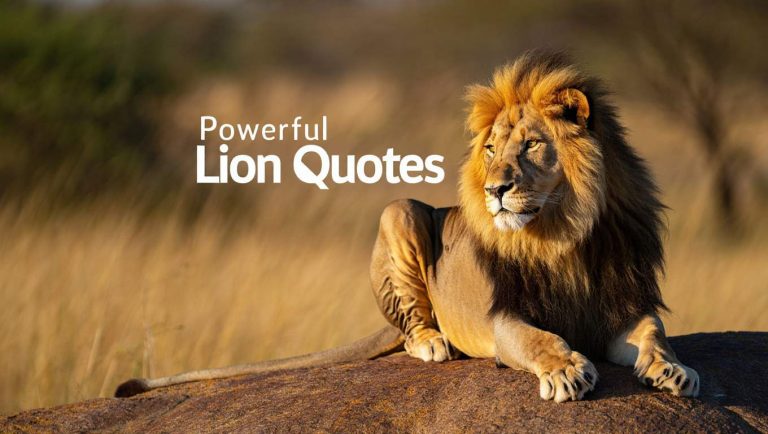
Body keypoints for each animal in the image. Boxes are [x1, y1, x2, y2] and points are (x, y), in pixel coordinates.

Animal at [116, 51, 699, 402]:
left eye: (532, 144)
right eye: (492, 150)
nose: (495, 189)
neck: (562, 237)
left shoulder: (623, 302)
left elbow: (654, 333)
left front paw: (674, 370)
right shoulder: (504, 318)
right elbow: (541, 339)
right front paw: (565, 369)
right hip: (400, 211)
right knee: (411, 321)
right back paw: (435, 343)